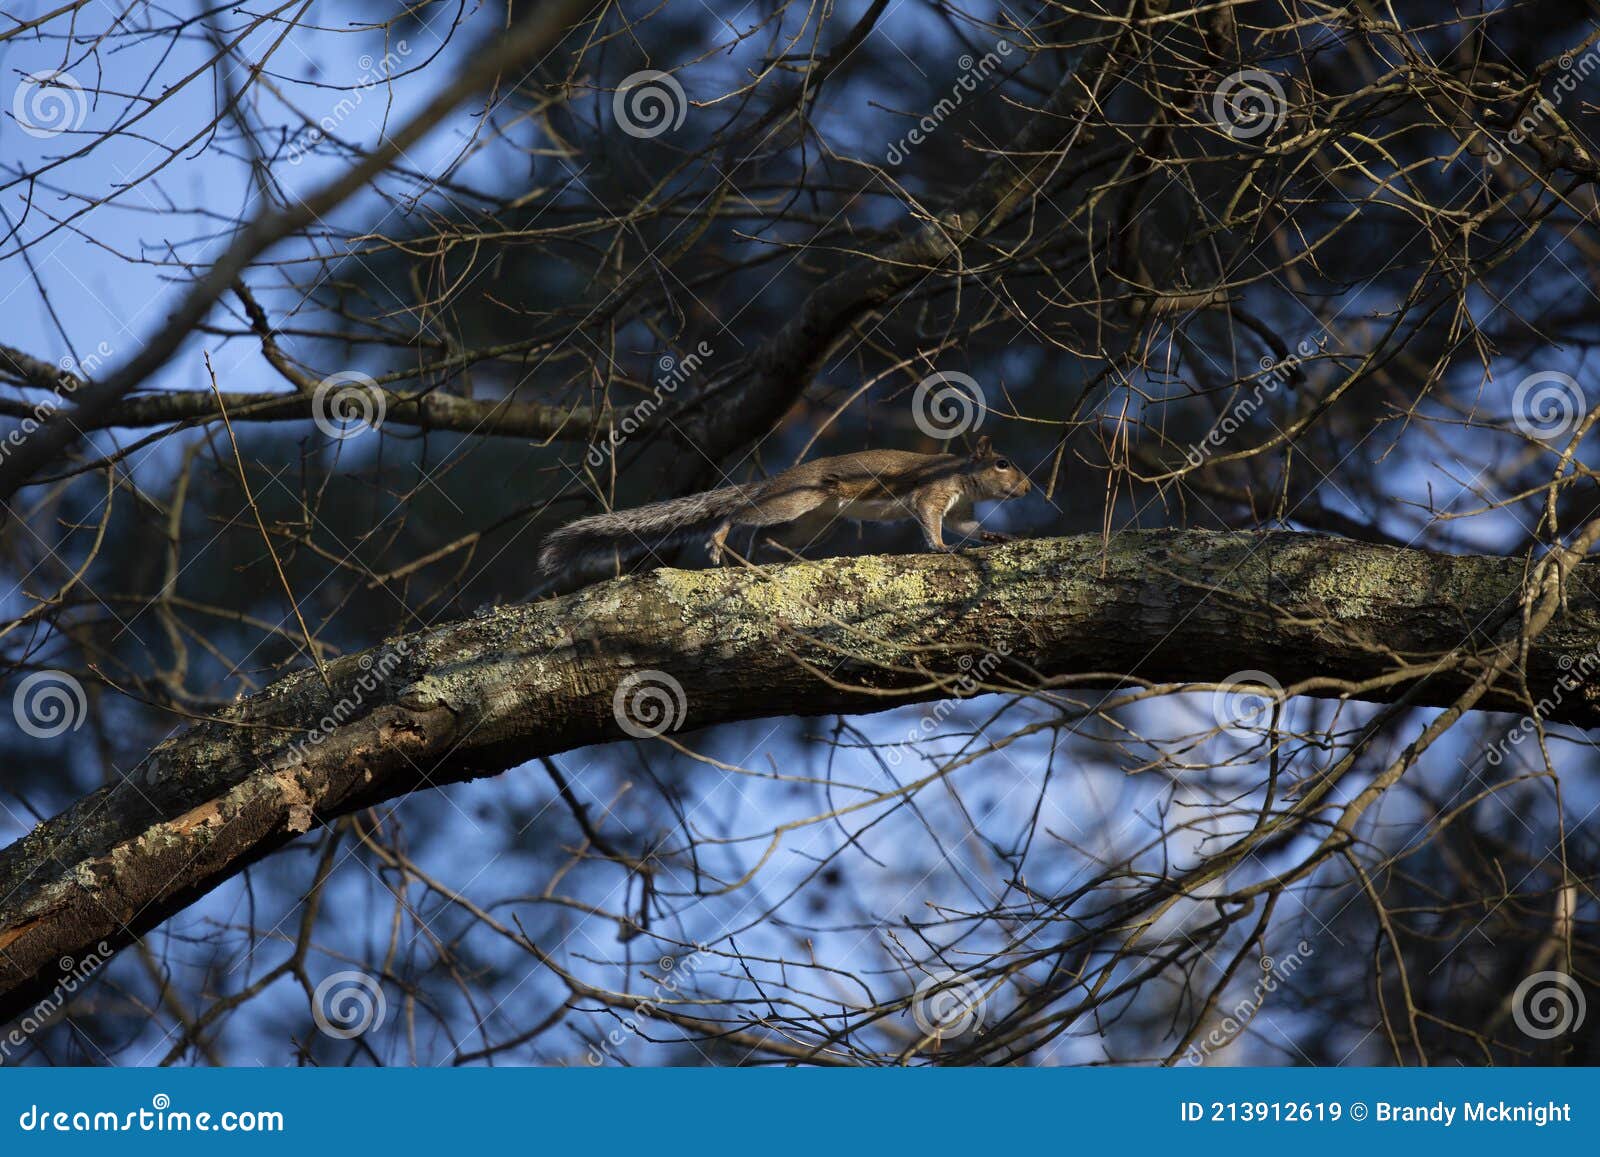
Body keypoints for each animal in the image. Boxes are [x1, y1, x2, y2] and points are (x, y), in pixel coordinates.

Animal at [539, 436, 1032, 575]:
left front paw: (996, 534)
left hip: (814, 522)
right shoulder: (931, 495)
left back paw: (774, 556)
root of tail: (774, 482)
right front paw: (941, 548)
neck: (964, 477)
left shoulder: (961, 510)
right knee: (740, 517)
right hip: (800, 501)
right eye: (1003, 463)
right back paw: (721, 537)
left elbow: (968, 528)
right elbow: (931, 523)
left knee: (764, 537)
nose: (1028, 489)